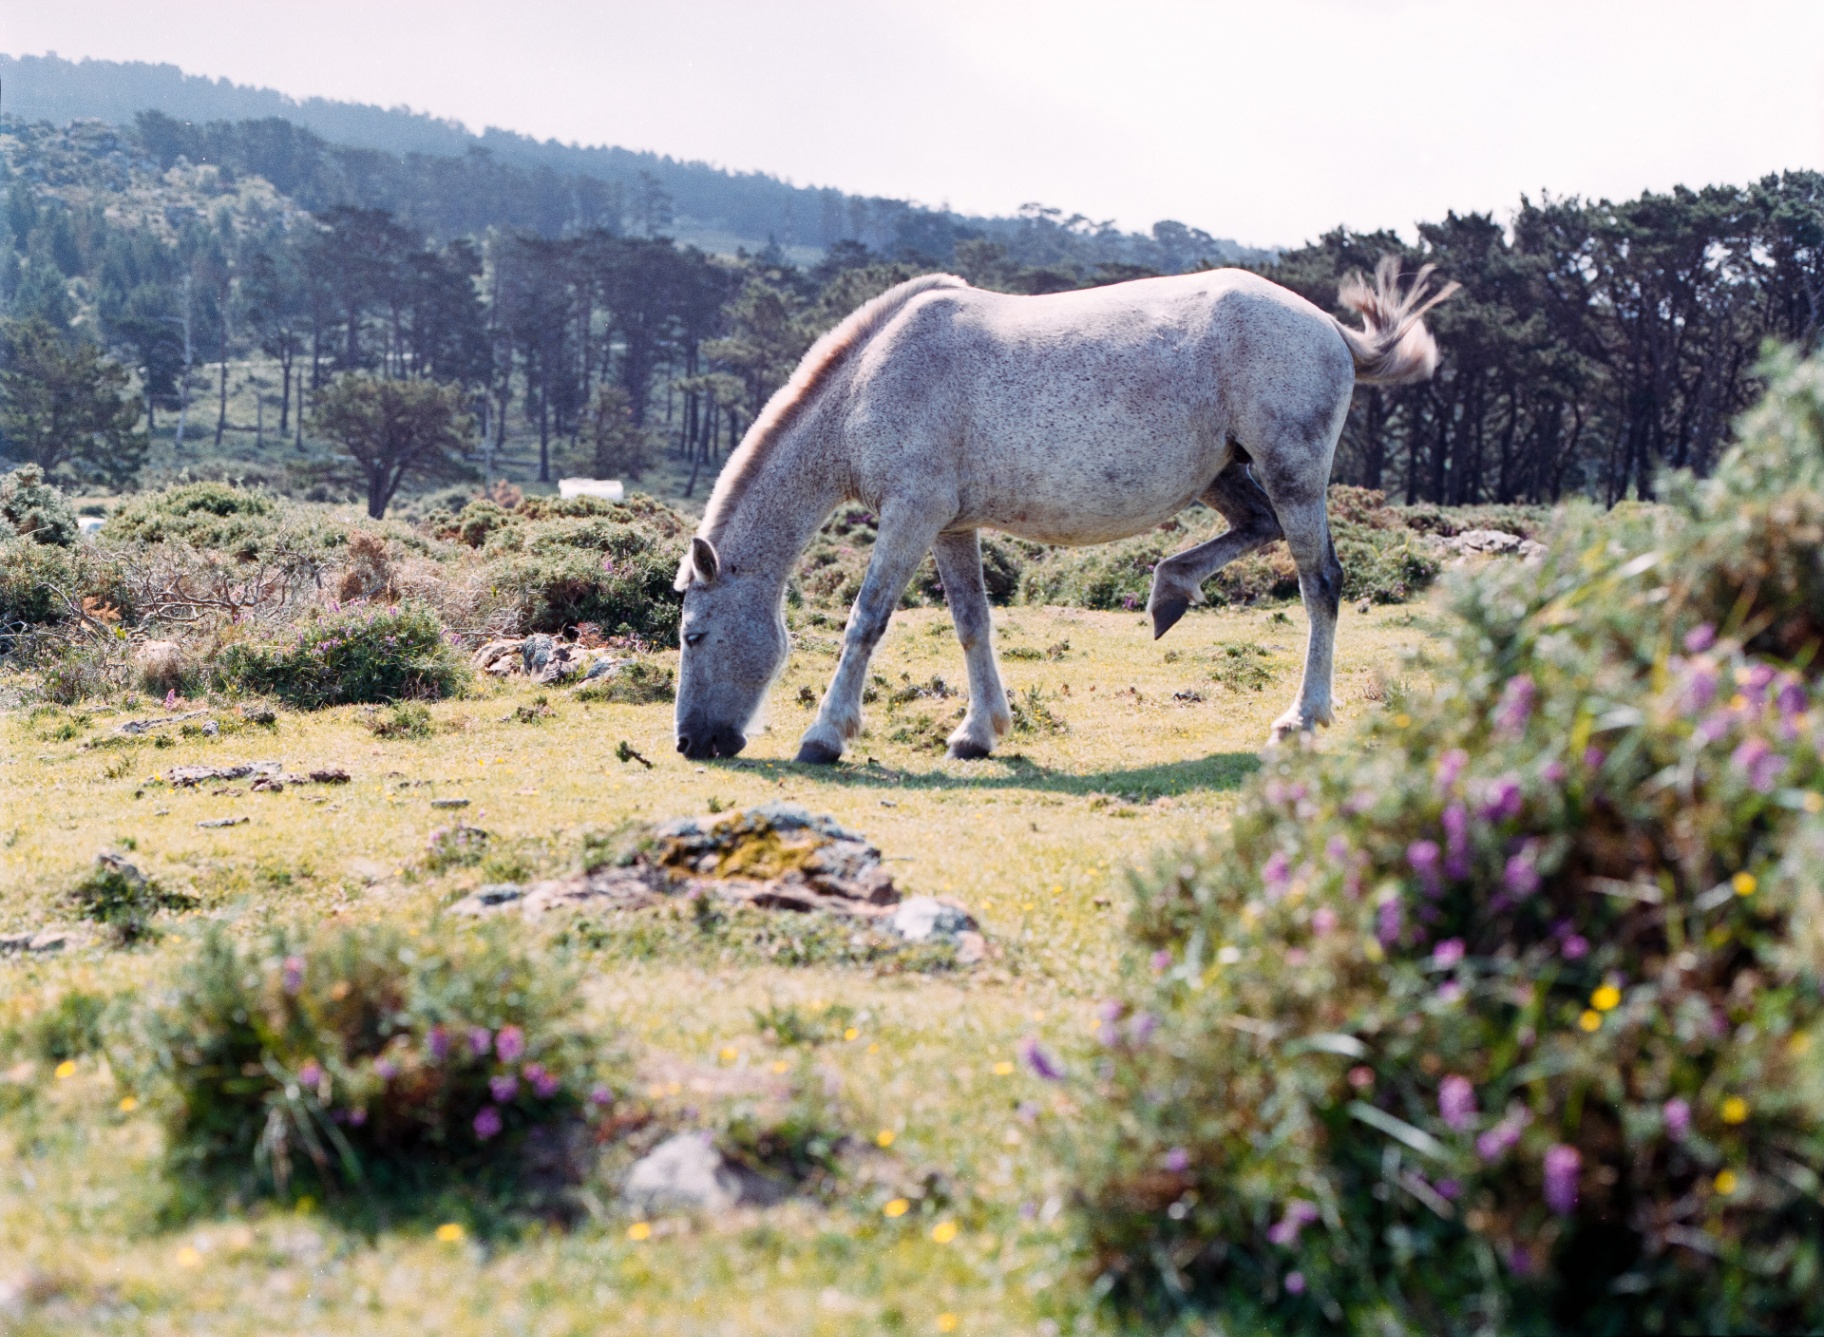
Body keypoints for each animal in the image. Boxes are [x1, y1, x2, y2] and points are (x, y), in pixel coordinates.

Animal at [672, 258, 1454, 763]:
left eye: (692, 635)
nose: (689, 743)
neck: (873, 377)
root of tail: (1328, 325)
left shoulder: (910, 514)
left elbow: (866, 621)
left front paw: (825, 735)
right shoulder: (950, 524)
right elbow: (971, 622)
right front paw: (979, 732)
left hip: (1294, 475)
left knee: (1320, 584)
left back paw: (1303, 717)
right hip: (1222, 474)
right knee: (1252, 528)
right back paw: (1169, 592)